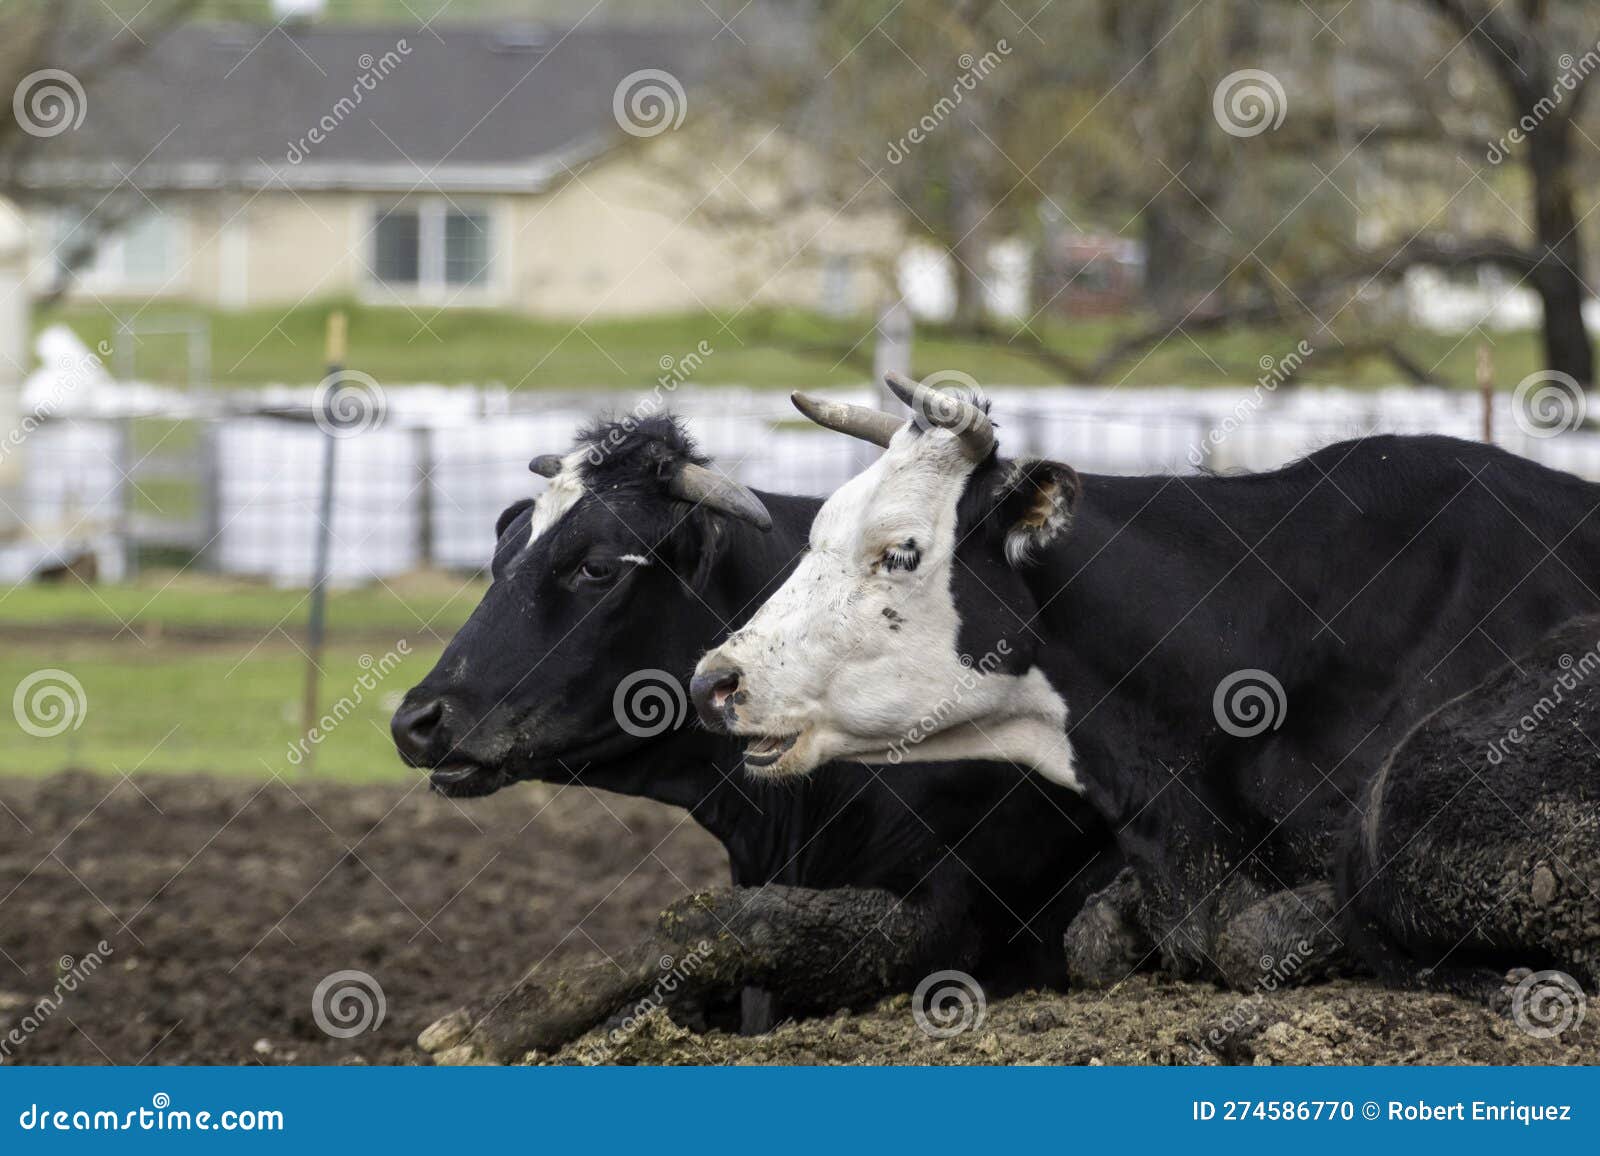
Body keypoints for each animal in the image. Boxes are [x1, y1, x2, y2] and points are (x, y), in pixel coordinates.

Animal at [391, 414, 1122, 1063]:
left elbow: (721, 926)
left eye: (596, 568)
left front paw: (497, 1026)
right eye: (498, 561)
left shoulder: (950, 919)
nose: (416, 721)